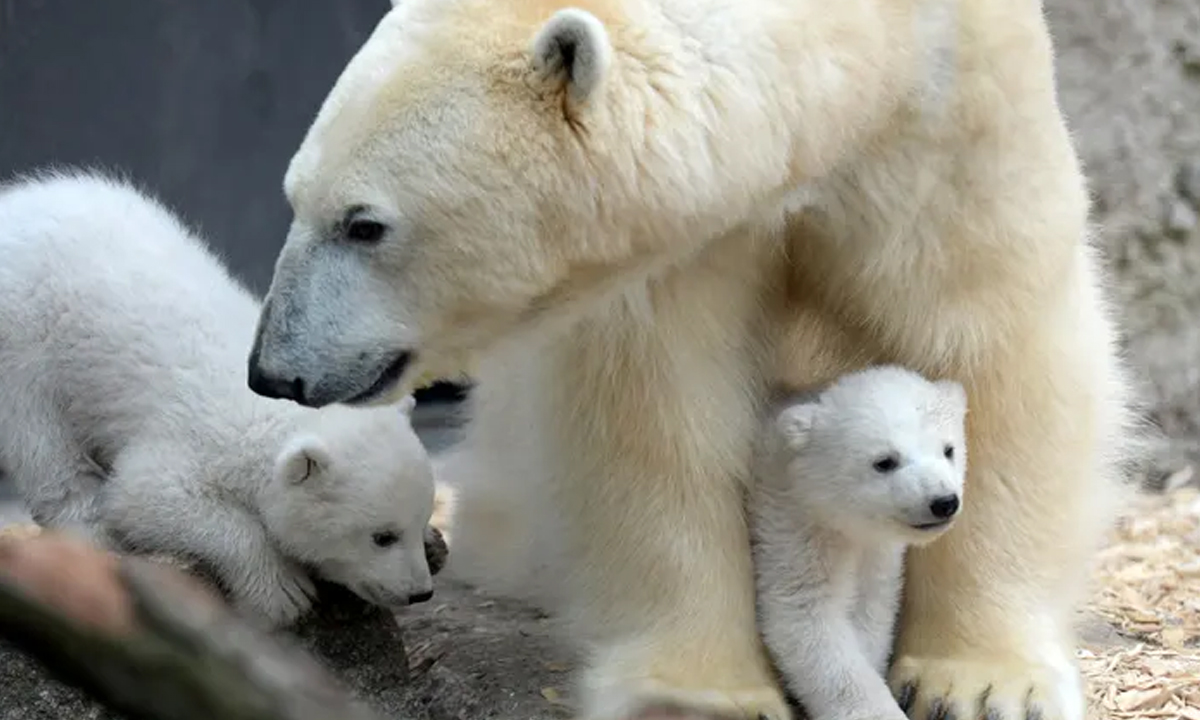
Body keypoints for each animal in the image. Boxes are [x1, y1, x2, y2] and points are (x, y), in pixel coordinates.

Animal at [0, 168, 437, 629]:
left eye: (422, 516)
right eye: (382, 537)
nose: (419, 592)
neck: (261, 413)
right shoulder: (193, 437)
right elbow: (144, 495)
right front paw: (283, 590)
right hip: (22, 332)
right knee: (39, 437)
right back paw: (91, 530)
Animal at [750, 366, 968, 720]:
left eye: (948, 449)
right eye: (885, 461)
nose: (943, 502)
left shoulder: (878, 551)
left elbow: (870, 608)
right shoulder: (792, 528)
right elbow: (805, 616)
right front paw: (876, 710)